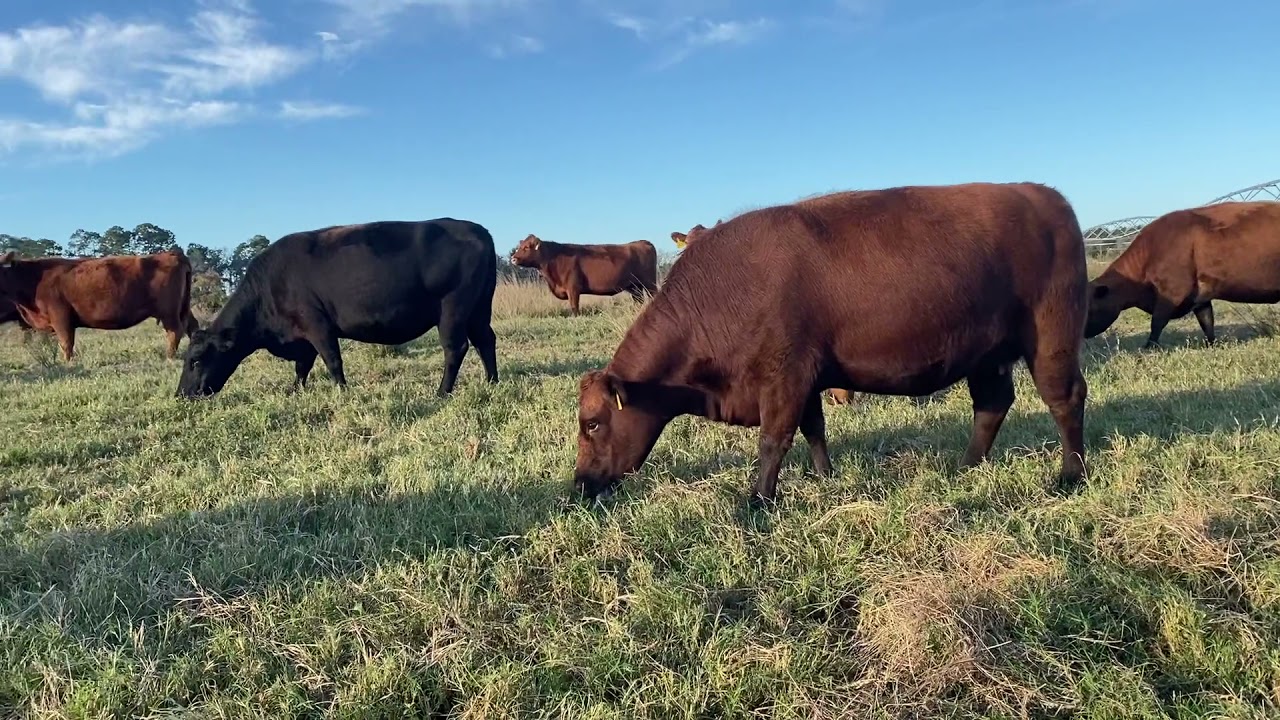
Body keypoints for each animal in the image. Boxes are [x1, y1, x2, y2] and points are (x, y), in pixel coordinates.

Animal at [0, 249, 198, 360]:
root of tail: (172, 254)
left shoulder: (60, 317)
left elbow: (66, 343)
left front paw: (68, 364)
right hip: (182, 308)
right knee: (192, 327)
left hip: (169, 312)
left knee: (175, 331)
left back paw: (169, 357)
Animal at [176, 219, 500, 399]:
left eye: (195, 360)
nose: (181, 395)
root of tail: (478, 229)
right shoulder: (302, 337)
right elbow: (302, 366)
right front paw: (295, 391)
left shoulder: (317, 326)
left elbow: (332, 361)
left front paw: (342, 391)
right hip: (478, 309)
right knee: (485, 340)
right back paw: (491, 382)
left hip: (453, 309)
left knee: (455, 348)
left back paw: (442, 392)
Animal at [509, 234, 658, 315]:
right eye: (519, 246)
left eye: (526, 247)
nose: (513, 258)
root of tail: (643, 242)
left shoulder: (573, 288)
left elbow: (574, 307)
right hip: (634, 286)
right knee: (638, 300)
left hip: (649, 282)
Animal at [572, 182, 1090, 507]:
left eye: (593, 423)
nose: (580, 484)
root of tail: (1045, 196)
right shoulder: (806, 379)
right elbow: (814, 430)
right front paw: (824, 478)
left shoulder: (784, 376)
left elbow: (774, 440)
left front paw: (756, 502)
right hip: (987, 355)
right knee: (992, 405)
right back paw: (965, 468)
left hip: (1051, 340)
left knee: (1066, 399)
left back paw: (1069, 477)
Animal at [1085, 201, 1280, 348]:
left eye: (1089, 308)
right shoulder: (1200, 297)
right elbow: (1207, 322)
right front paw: (1211, 345)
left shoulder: (1173, 291)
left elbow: (1157, 322)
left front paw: (1148, 348)